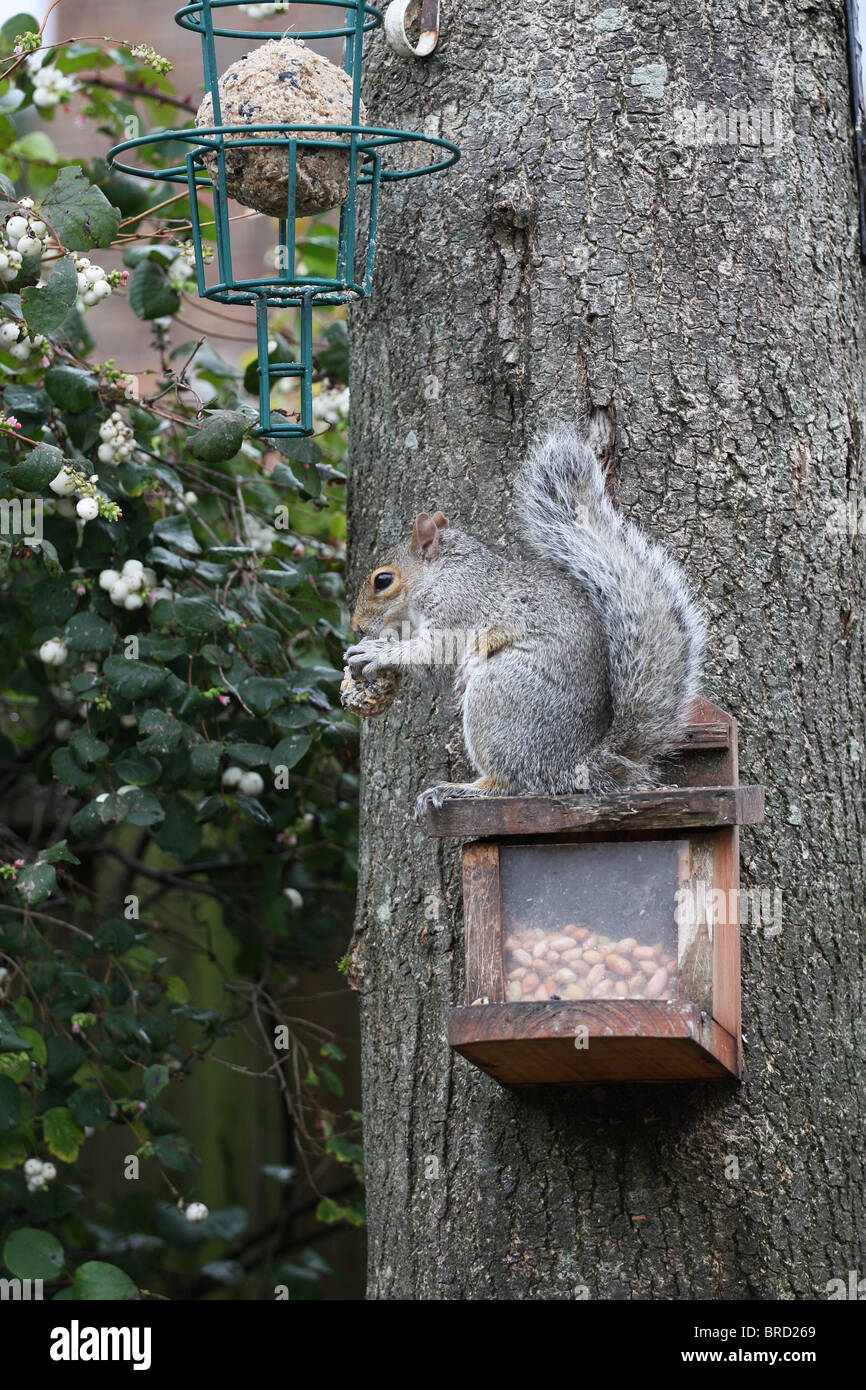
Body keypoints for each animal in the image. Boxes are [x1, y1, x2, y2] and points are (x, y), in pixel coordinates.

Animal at [346, 418, 706, 818]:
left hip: (500, 693)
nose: (356, 626)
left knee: (509, 783)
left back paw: (461, 788)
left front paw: (376, 651)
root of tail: (571, 768)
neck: (441, 573)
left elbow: (436, 655)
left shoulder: (458, 608)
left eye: (383, 581)